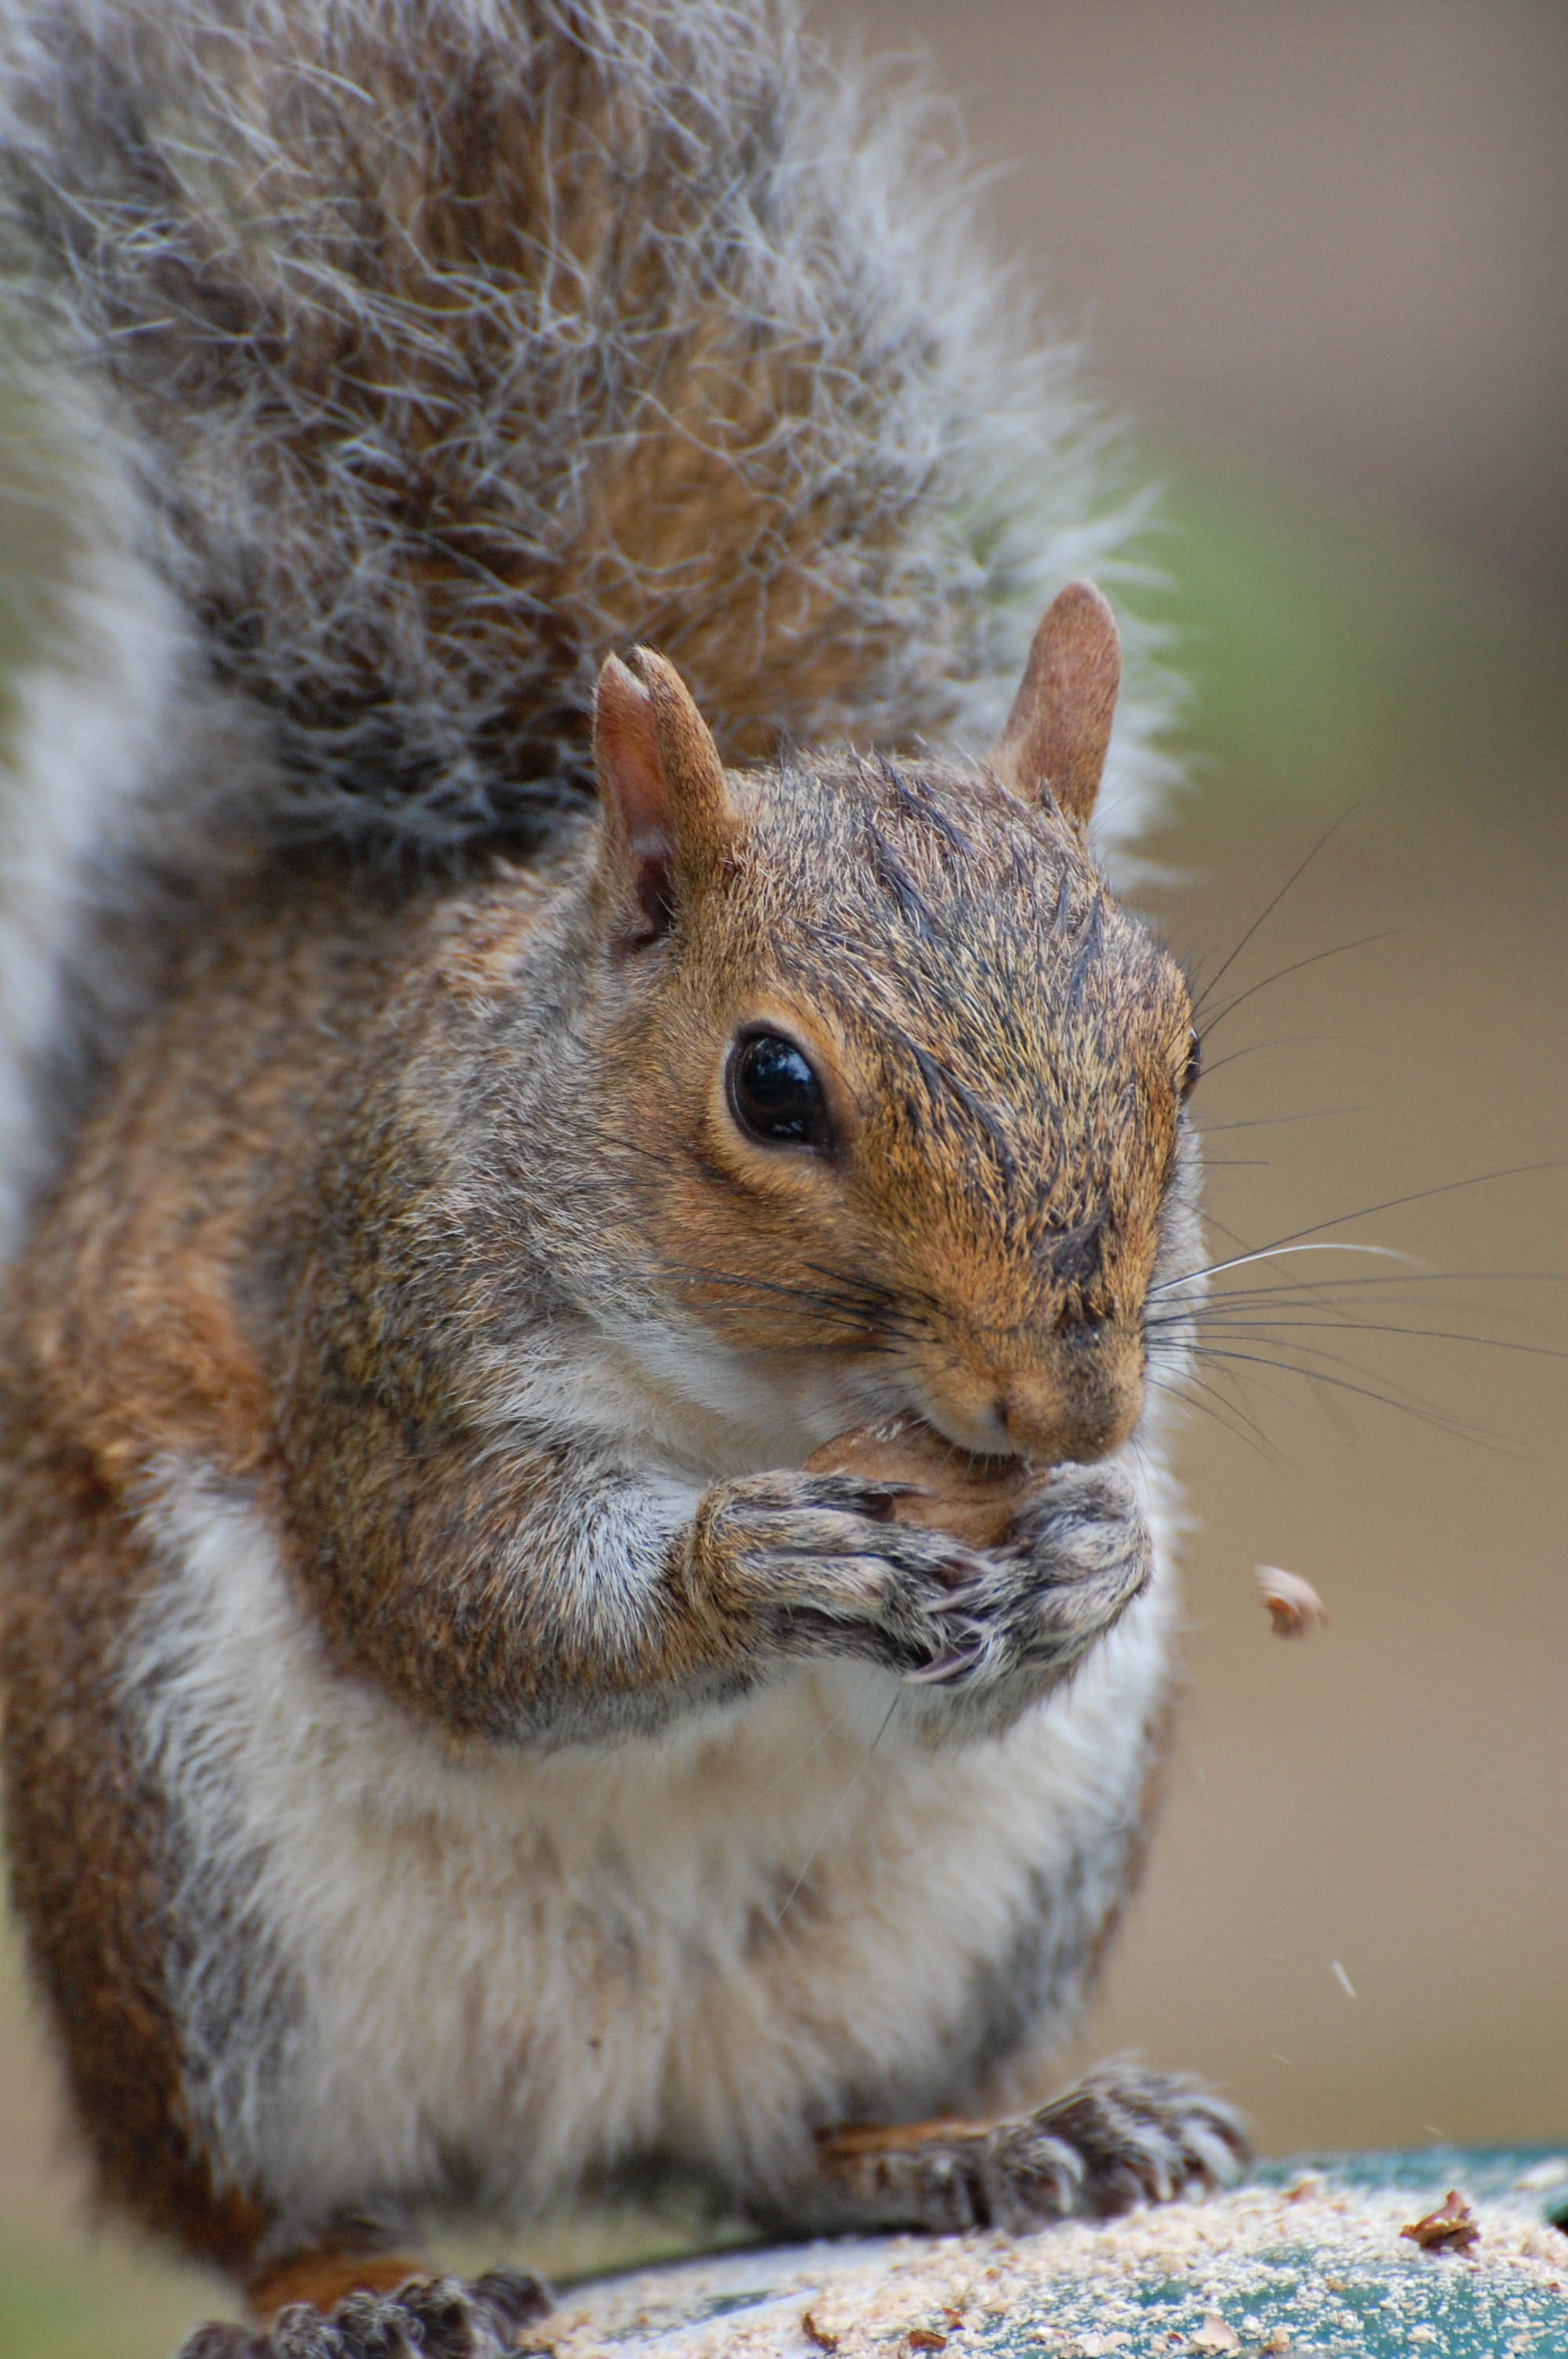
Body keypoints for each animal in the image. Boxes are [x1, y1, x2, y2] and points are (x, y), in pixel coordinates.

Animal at [0, 3, 1248, 2353]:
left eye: (1184, 1045)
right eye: (771, 1087)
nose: (1067, 1412)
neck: (762, 1393)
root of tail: (580, 2123)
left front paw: (1092, 1552)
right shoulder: (377, 1311)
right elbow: (452, 1588)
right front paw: (741, 1569)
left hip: (981, 1903)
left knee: (789, 2143)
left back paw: (995, 2137)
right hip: (184, 1878)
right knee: (256, 2202)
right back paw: (362, 2284)